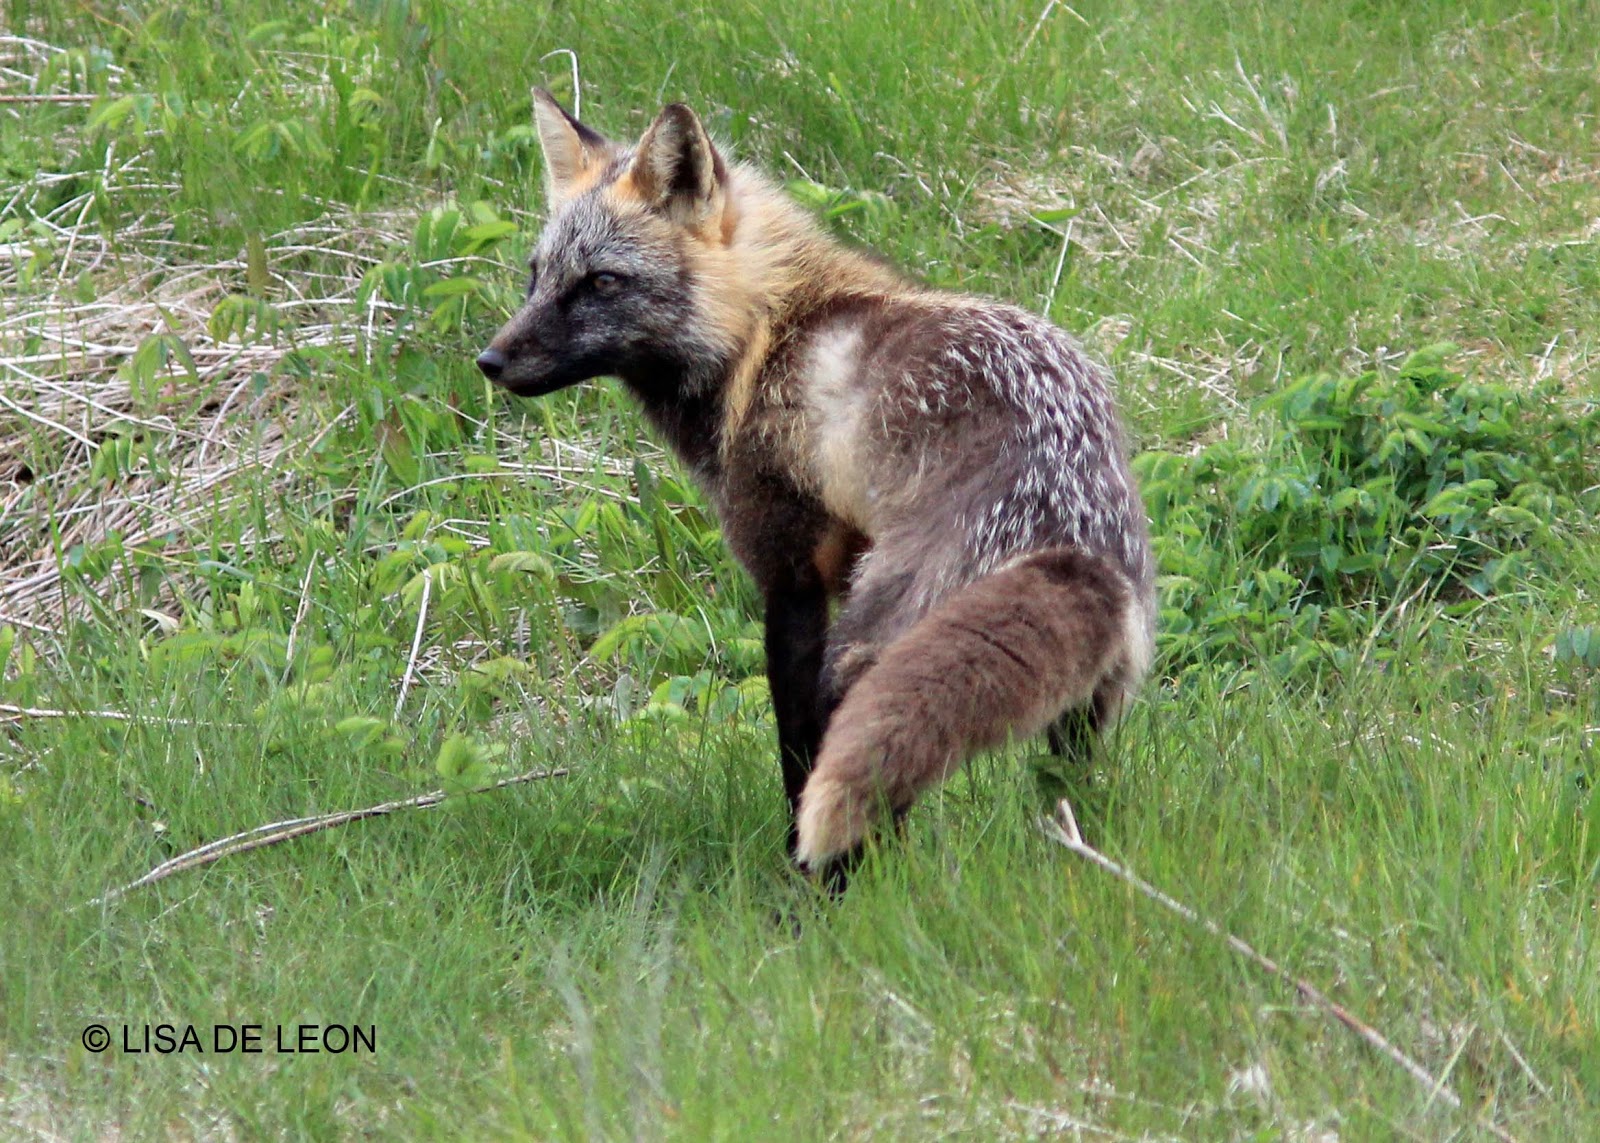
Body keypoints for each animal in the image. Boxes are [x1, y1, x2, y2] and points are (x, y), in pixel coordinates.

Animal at [476, 91, 1156, 880]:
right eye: (537, 275)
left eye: (602, 282)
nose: (491, 360)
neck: (766, 333)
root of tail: (1070, 522)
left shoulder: (788, 572)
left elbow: (795, 752)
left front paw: (792, 861)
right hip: (1084, 698)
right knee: (1067, 788)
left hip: (866, 654)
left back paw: (835, 888)